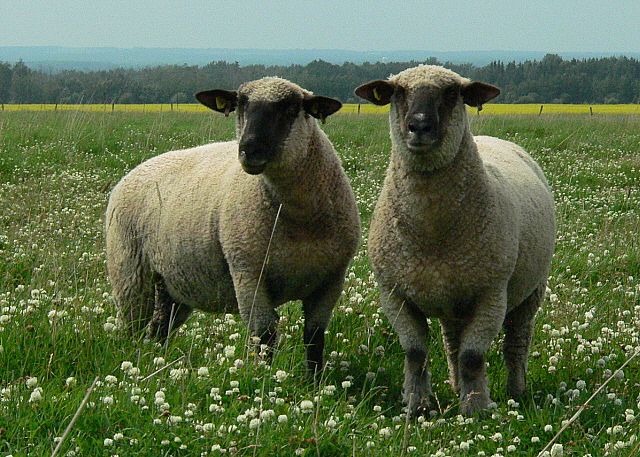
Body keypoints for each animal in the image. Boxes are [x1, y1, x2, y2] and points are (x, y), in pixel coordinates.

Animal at [106, 77, 361, 375]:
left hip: (172, 282)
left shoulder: (331, 281)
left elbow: (314, 339)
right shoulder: (248, 273)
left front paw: (314, 382)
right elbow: (264, 336)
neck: (300, 223)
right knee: (132, 327)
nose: (249, 150)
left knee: (159, 327)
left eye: (291, 108)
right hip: (130, 273)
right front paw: (265, 378)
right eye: (241, 105)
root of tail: (134, 172)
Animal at [355, 65, 555, 415]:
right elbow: (416, 354)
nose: (419, 126)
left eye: (452, 93)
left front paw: (476, 408)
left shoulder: (491, 294)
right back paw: (455, 385)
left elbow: (473, 356)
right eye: (397, 91)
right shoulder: (394, 295)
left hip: (531, 291)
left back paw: (516, 391)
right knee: (451, 344)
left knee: (517, 343)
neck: (433, 233)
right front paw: (418, 406)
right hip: (452, 298)